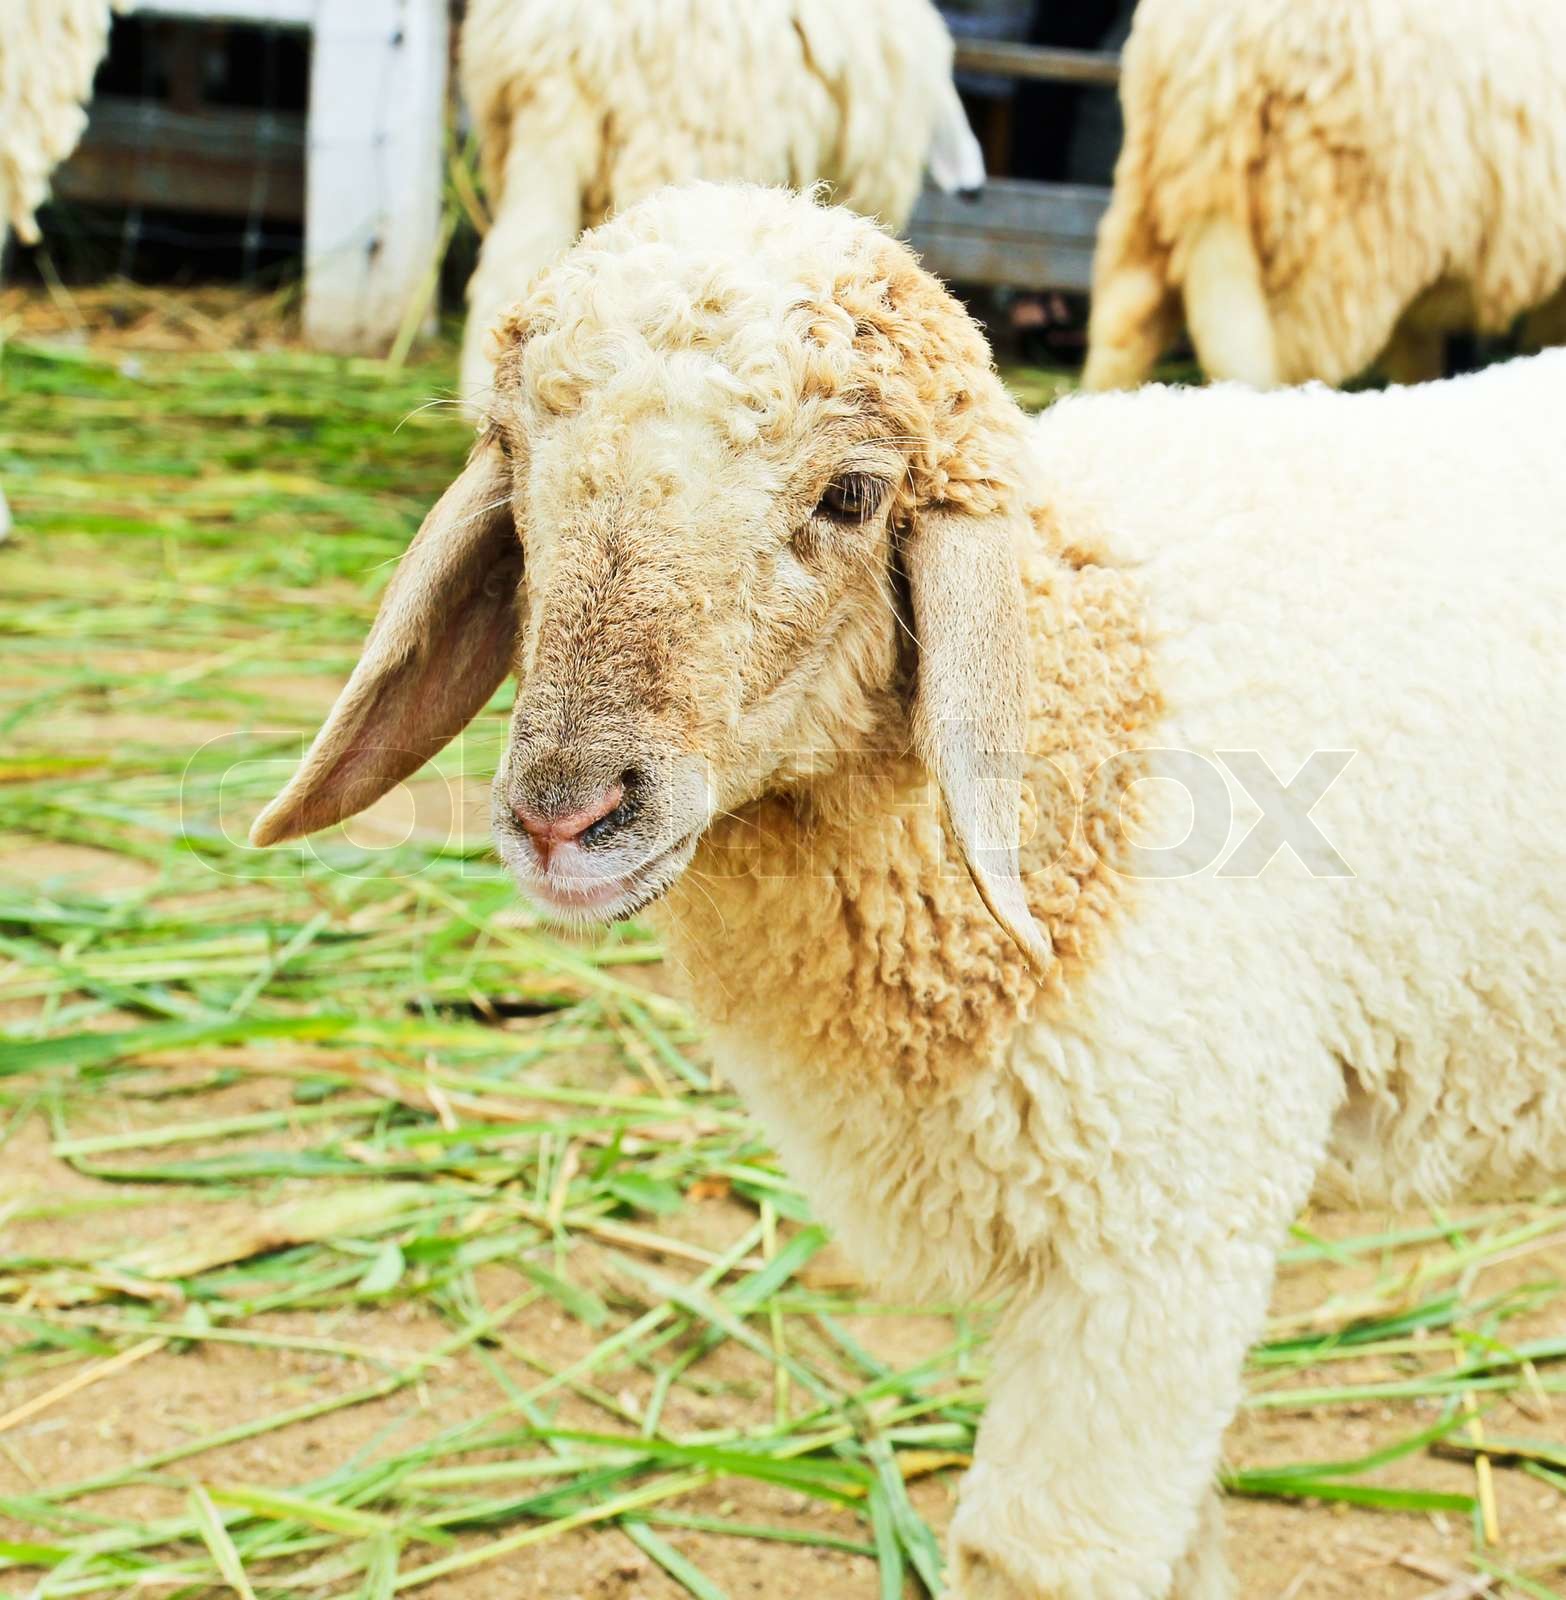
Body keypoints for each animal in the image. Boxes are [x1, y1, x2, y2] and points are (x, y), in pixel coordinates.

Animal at [251, 183, 1566, 1598]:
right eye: (516, 451)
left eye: (851, 494)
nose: (567, 811)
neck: (1086, 688)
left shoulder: (1162, 1223)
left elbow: (1043, 1551)